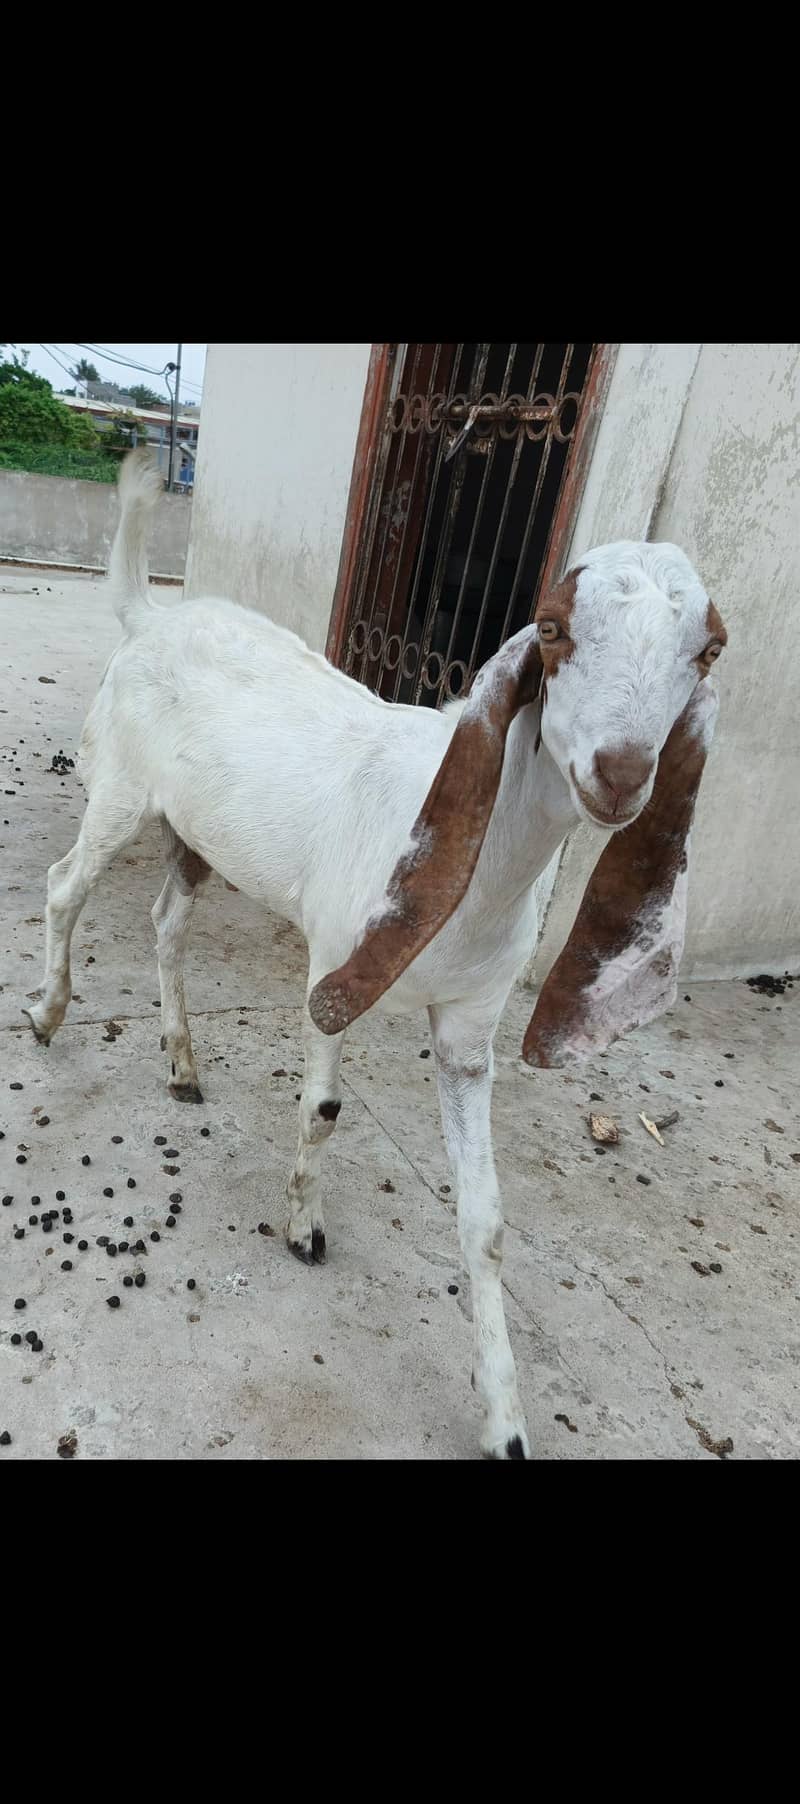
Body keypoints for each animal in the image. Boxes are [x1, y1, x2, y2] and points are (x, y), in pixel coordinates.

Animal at [24, 451, 727, 1459]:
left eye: (705, 653)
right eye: (553, 630)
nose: (621, 773)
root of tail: (152, 615)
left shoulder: (470, 1025)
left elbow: (485, 1221)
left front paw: (505, 1417)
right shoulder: (334, 962)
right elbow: (321, 1110)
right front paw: (302, 1228)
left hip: (198, 834)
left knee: (165, 920)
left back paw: (183, 1062)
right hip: (118, 790)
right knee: (63, 887)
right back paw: (48, 1012)